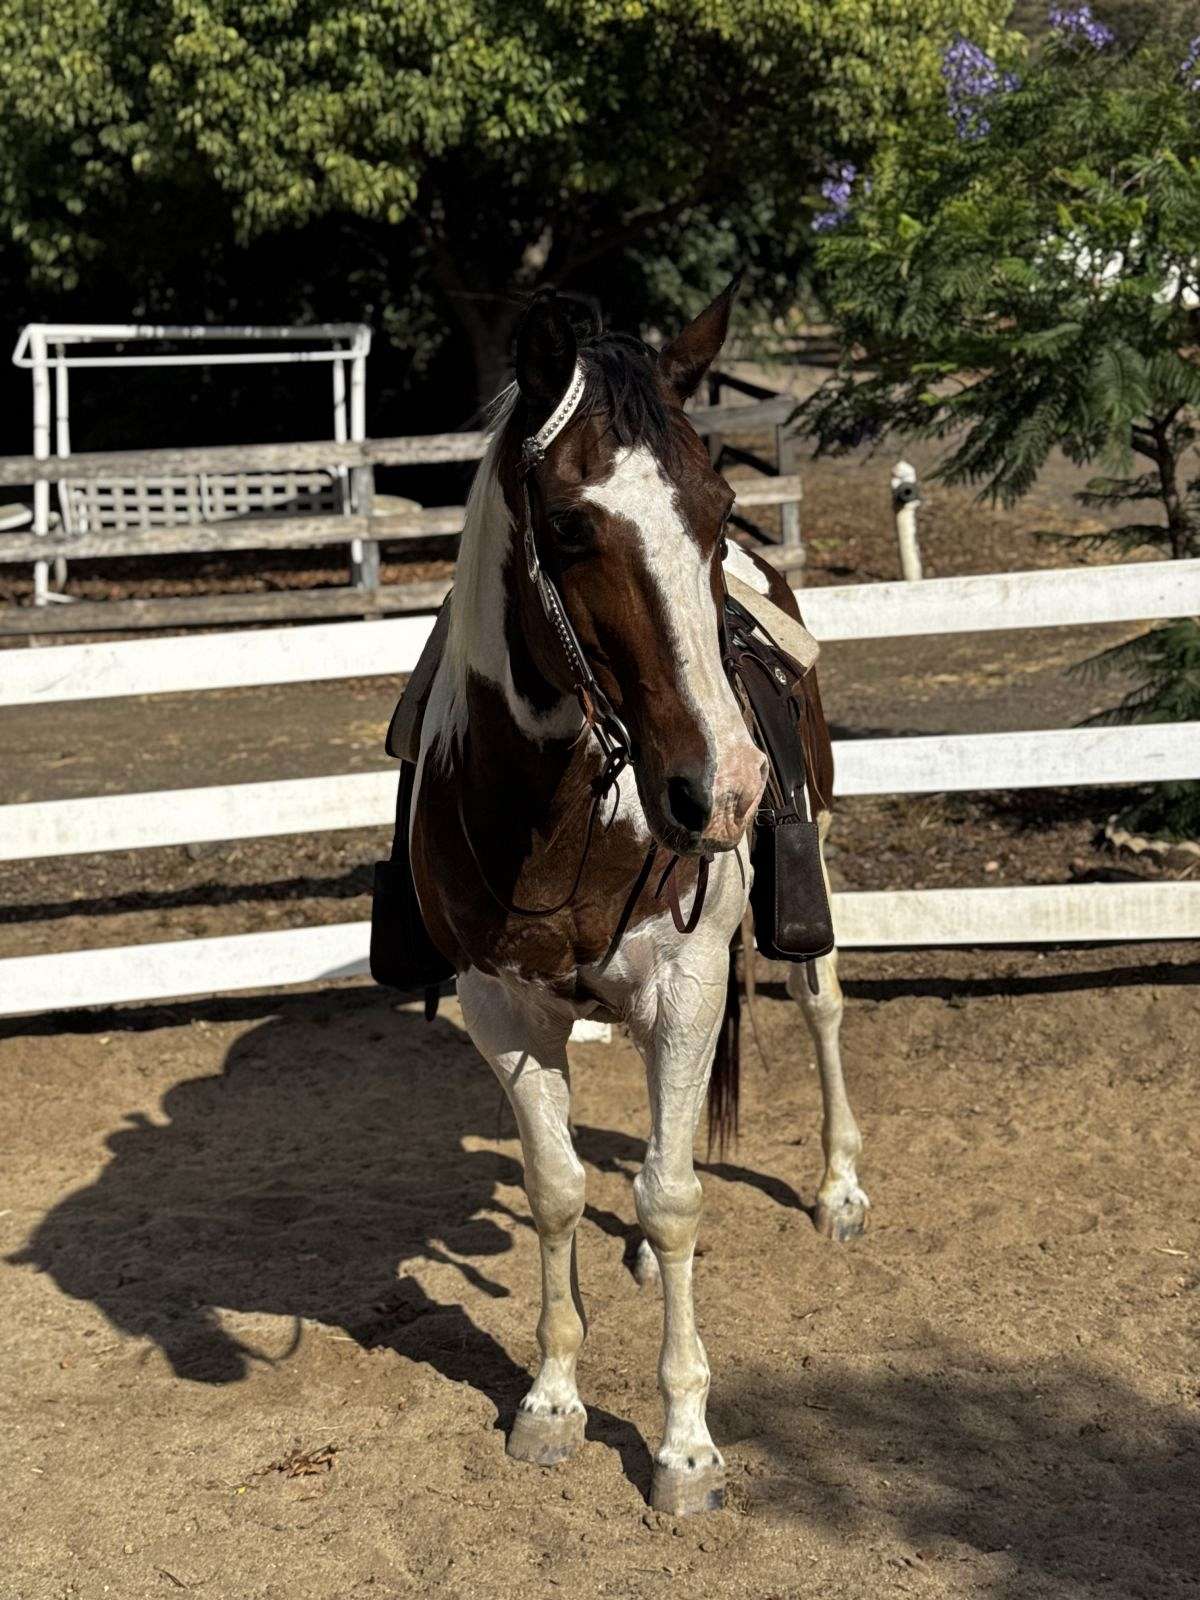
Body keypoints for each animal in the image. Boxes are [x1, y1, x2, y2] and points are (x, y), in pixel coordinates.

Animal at [408, 281, 869, 1515]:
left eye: (717, 503)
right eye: (569, 526)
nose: (724, 787)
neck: (557, 817)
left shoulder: (688, 979)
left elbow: (672, 1199)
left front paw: (686, 1446)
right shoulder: (504, 1008)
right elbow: (559, 1186)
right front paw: (553, 1398)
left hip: (812, 871)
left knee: (819, 1007)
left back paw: (840, 1187)